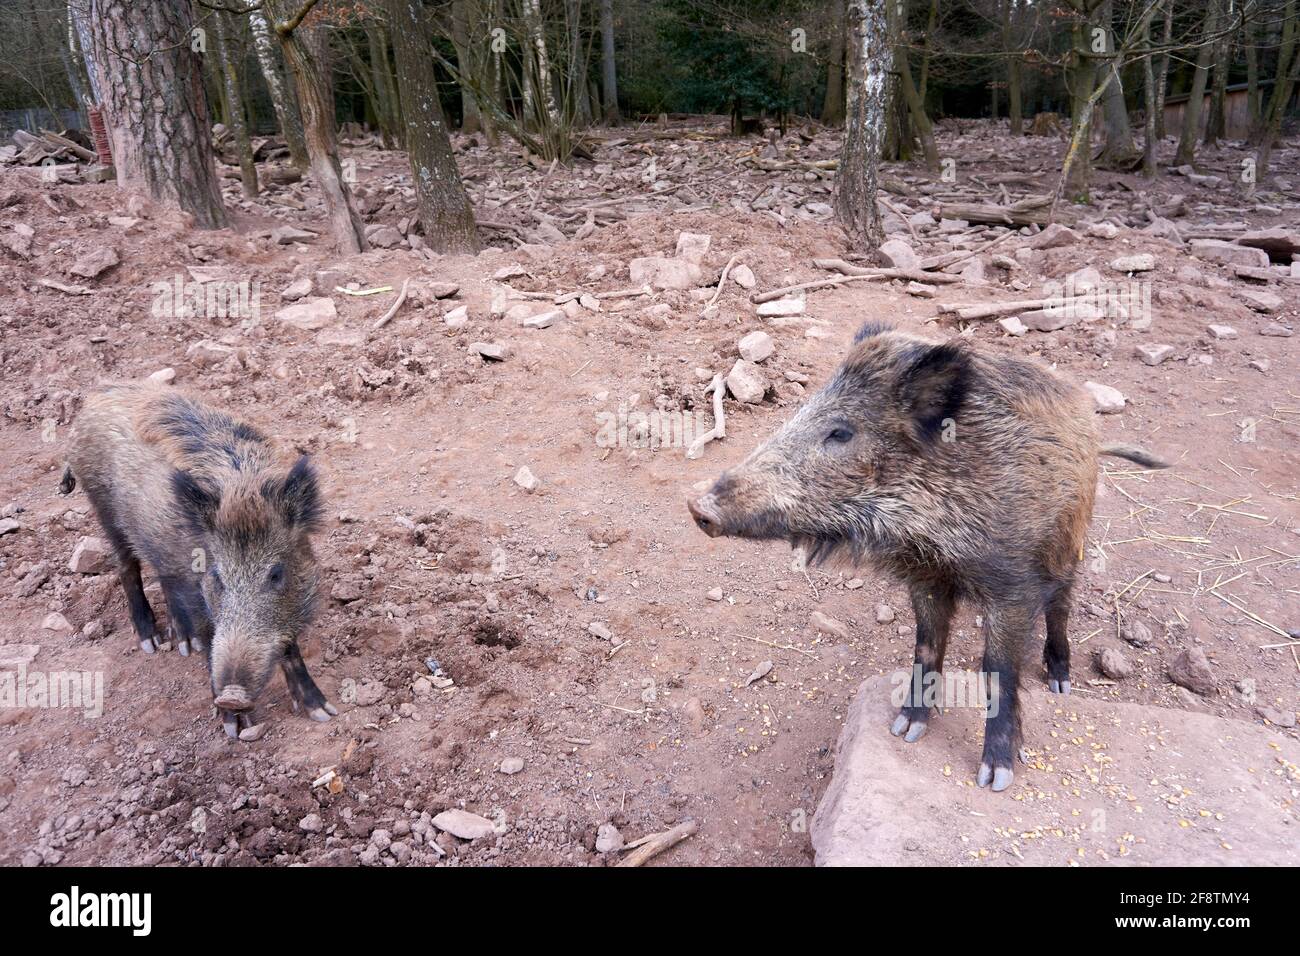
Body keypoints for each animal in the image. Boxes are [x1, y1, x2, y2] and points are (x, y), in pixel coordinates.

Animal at [61, 382, 336, 737]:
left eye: (276, 574)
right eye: (218, 576)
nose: (232, 695)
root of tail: (93, 399)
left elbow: (290, 648)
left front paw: (323, 711)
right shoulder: (200, 596)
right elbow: (209, 641)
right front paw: (235, 728)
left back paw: (182, 642)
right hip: (103, 509)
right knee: (127, 567)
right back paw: (152, 641)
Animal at [687, 323, 1169, 791]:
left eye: (841, 432)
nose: (698, 508)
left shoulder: (1011, 584)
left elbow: (998, 668)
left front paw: (995, 777)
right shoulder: (924, 574)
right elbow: (926, 643)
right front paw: (905, 729)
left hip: (1069, 542)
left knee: (1062, 604)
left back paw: (1059, 680)